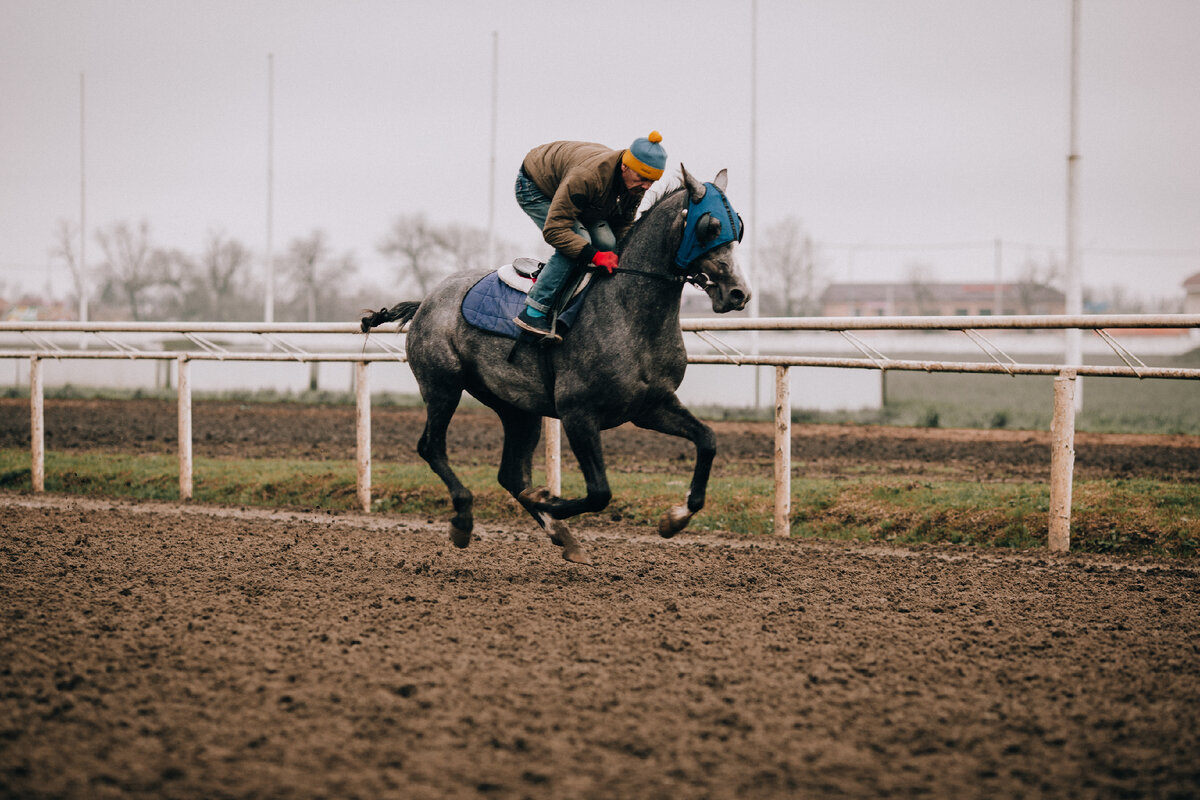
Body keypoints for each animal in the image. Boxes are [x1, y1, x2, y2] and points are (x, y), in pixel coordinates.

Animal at [360, 164, 748, 563]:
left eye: (738, 226)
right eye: (710, 227)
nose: (738, 293)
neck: (630, 312)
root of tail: (426, 300)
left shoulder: (651, 406)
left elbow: (708, 440)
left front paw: (676, 517)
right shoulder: (579, 413)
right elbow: (599, 493)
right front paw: (547, 499)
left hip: (517, 407)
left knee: (510, 474)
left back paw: (560, 533)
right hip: (443, 386)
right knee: (432, 447)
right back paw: (465, 517)